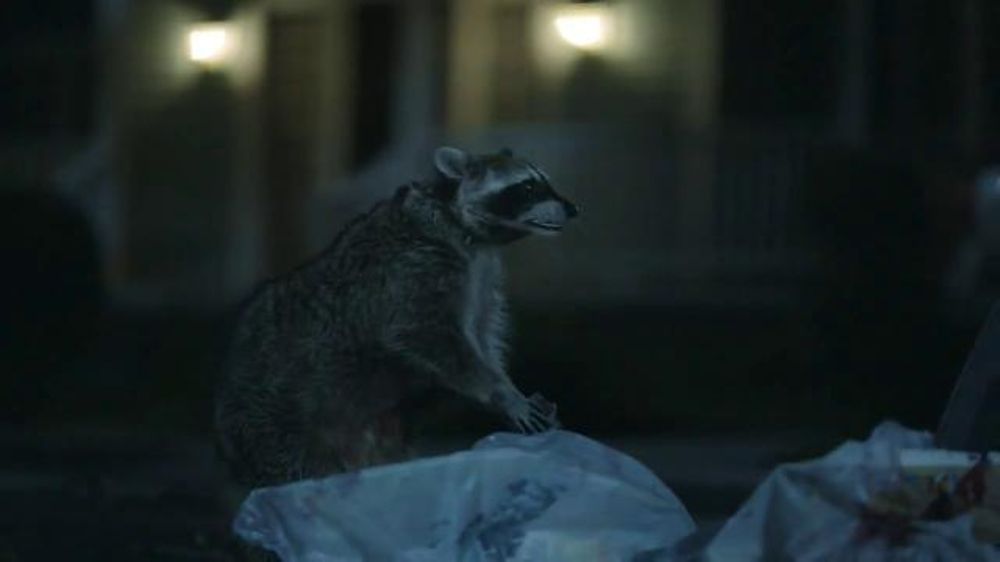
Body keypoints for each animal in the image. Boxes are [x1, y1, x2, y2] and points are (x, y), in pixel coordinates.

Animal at [214, 146, 579, 487]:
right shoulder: (413, 271)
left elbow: (482, 336)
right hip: (273, 420)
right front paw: (502, 393)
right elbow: (427, 336)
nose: (575, 210)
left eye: (542, 181)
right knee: (295, 462)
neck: (462, 226)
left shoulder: (483, 277)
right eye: (528, 186)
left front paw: (509, 386)